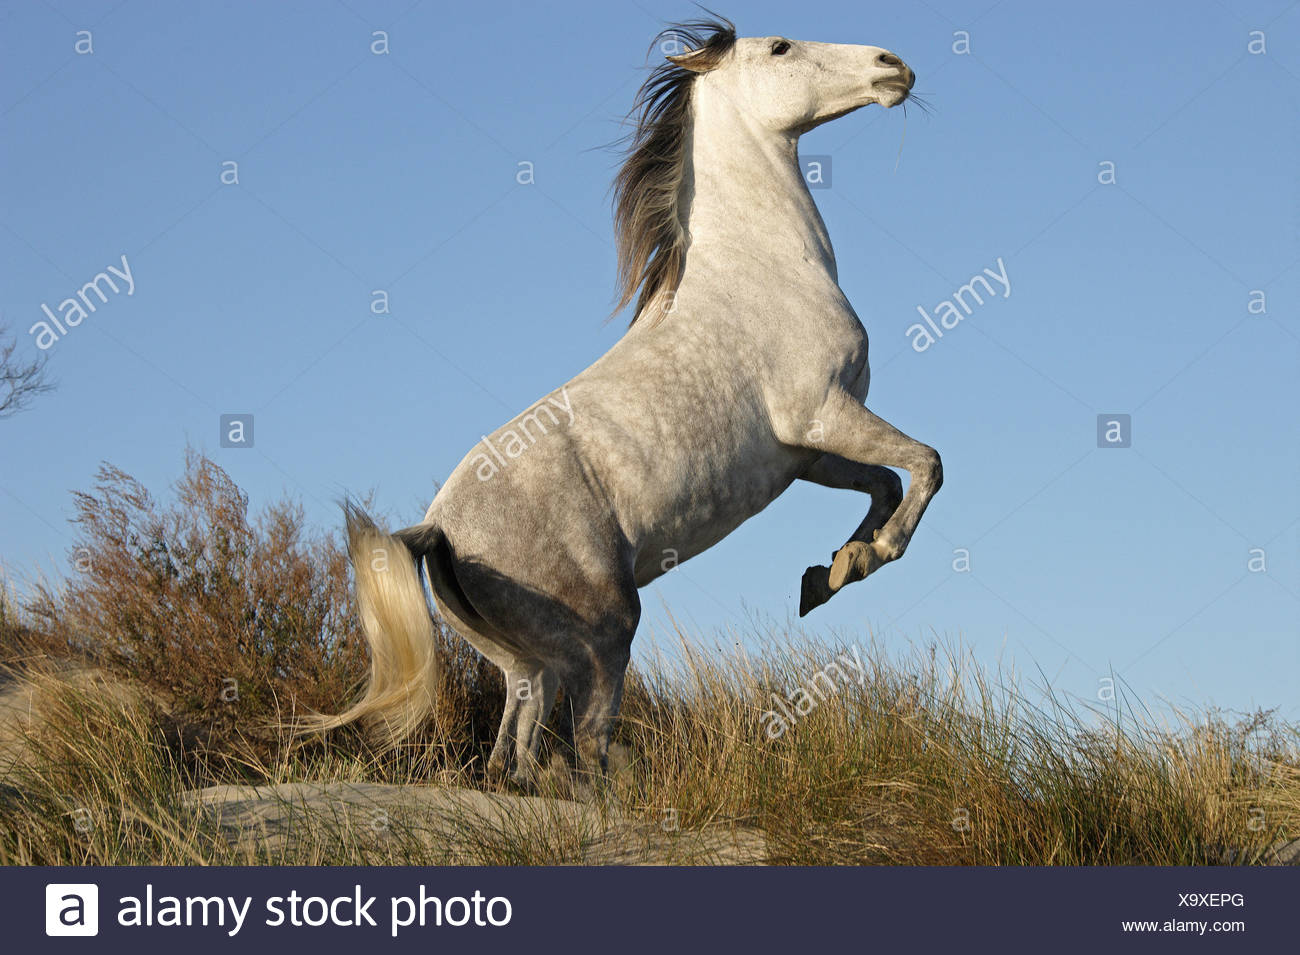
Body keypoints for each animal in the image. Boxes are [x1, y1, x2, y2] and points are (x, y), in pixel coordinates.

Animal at [302, 17, 942, 788]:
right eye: (781, 47)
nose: (893, 66)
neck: (762, 271)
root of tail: (436, 530)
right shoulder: (823, 412)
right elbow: (928, 464)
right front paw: (870, 556)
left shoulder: (808, 452)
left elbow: (885, 482)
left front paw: (831, 572)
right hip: (606, 631)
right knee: (585, 747)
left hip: (528, 662)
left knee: (516, 749)